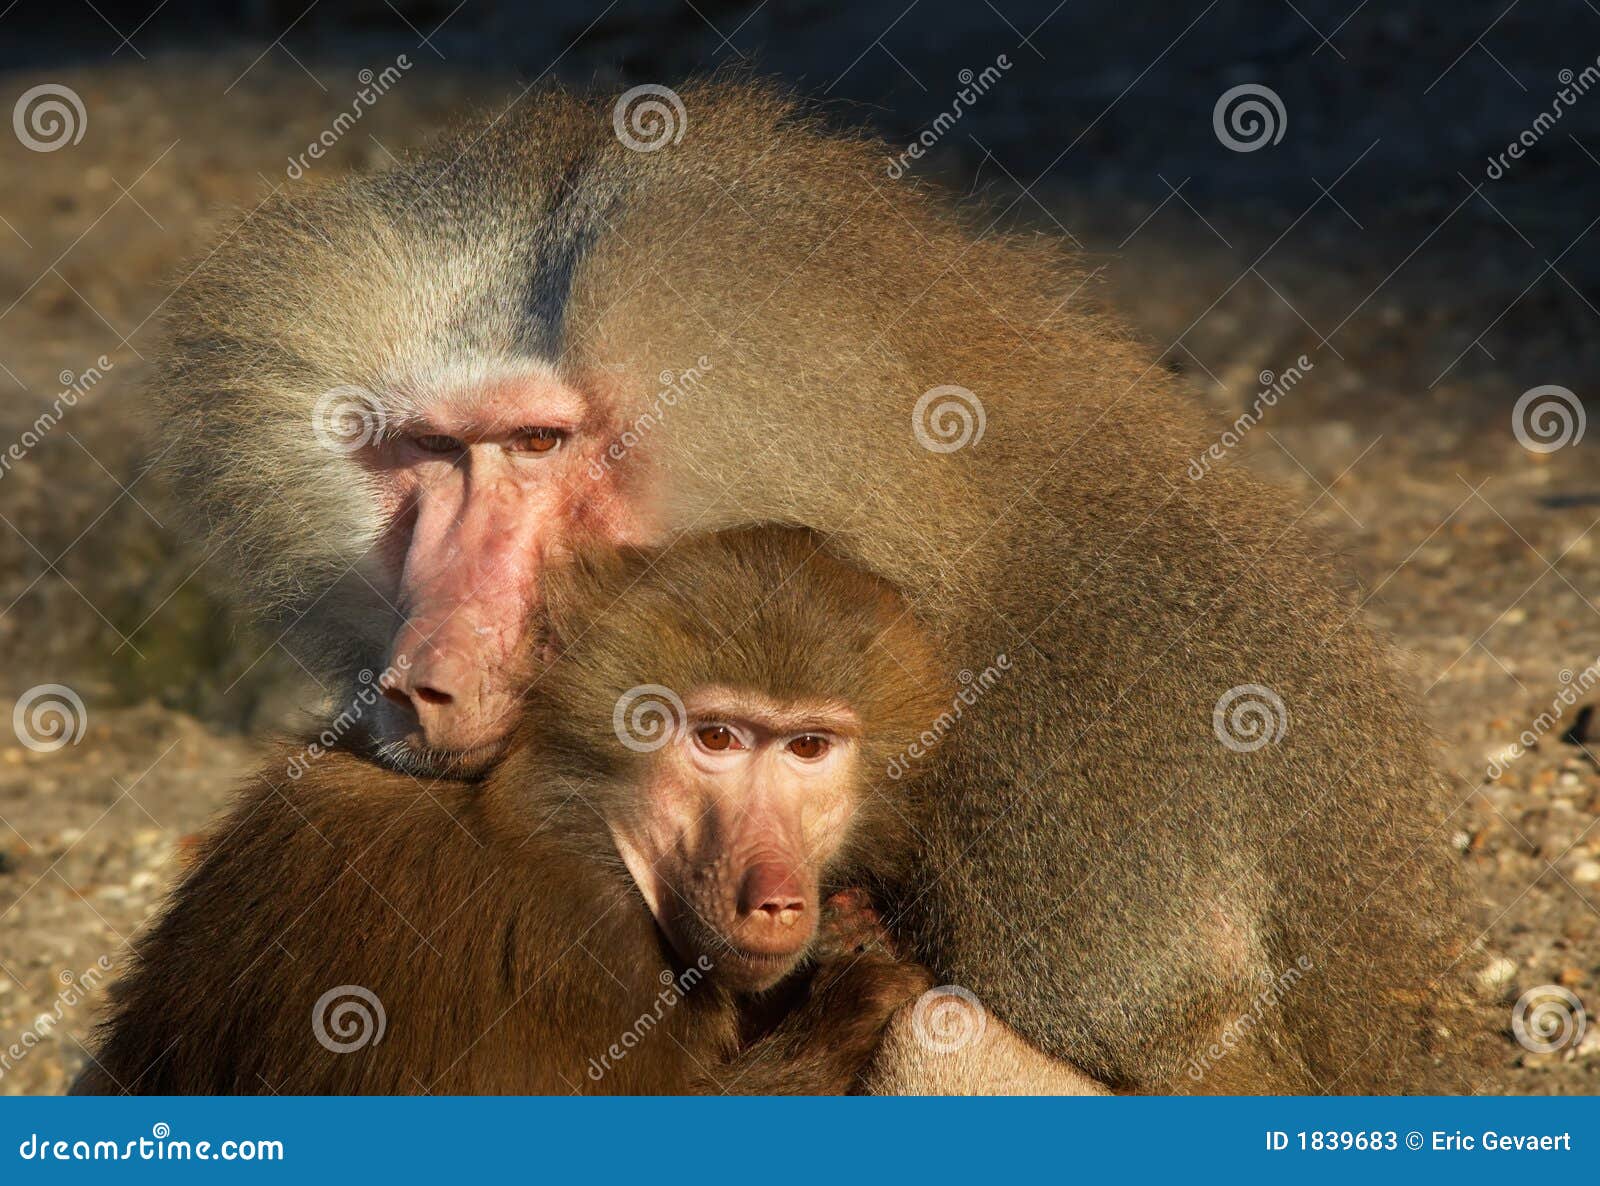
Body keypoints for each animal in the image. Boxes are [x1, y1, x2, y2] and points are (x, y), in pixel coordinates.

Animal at [75, 525, 948, 1094]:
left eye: (808, 747)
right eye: (717, 738)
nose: (775, 899)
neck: (579, 822)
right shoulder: (578, 951)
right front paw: (852, 1001)